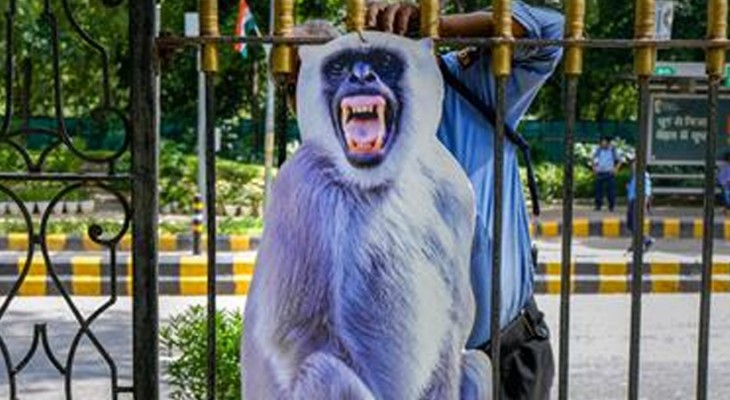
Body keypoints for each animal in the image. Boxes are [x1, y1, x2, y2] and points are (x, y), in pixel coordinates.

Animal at [242, 32, 491, 400]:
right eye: (339, 66)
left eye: (384, 62)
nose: (361, 76)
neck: (375, 181)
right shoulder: (301, 183)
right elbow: (296, 331)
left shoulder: (453, 186)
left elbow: (458, 312)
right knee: (323, 369)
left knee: (475, 363)